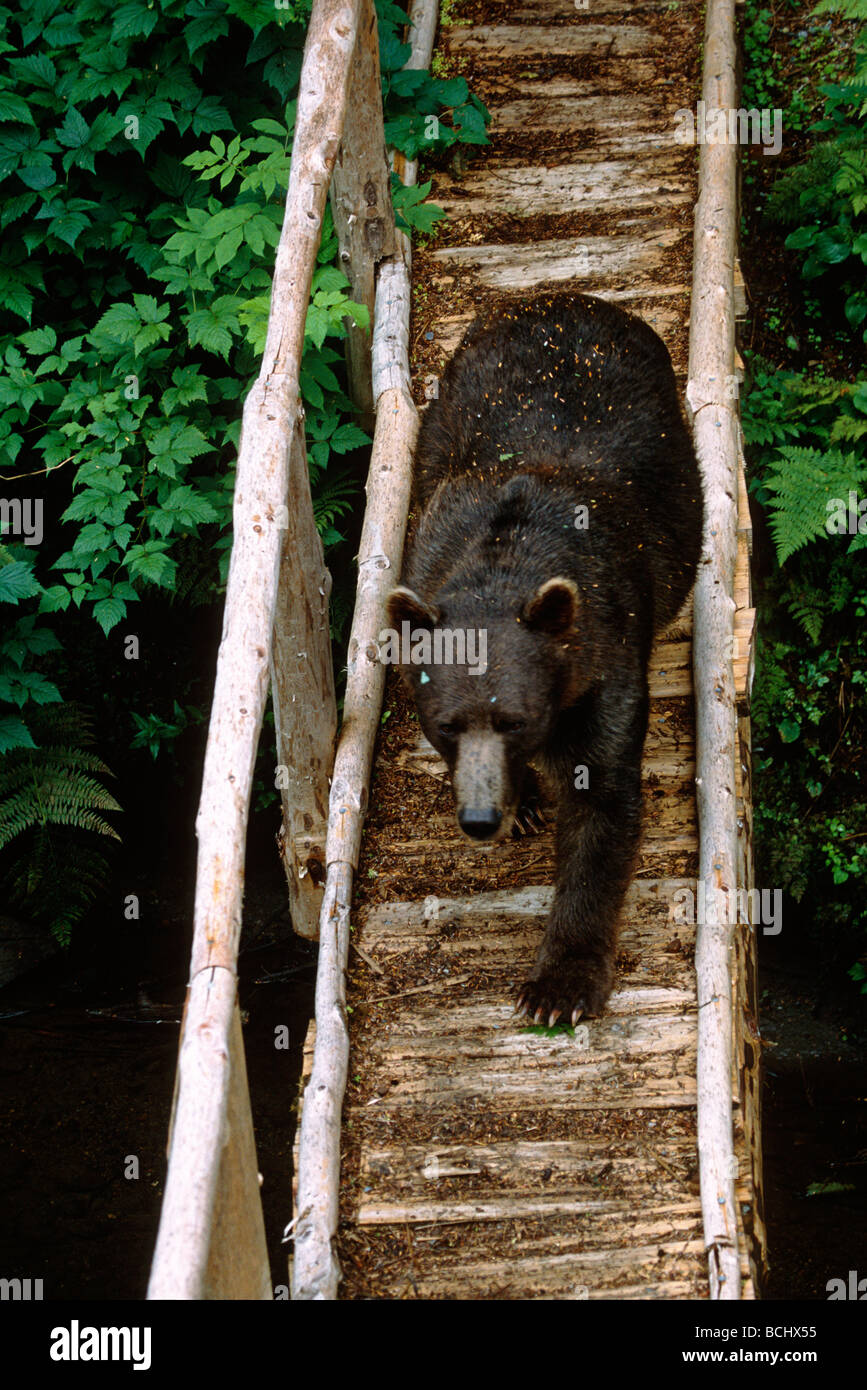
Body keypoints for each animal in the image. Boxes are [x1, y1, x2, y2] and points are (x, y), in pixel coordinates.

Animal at [387, 291, 704, 1026]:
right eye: (444, 726)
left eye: (514, 719)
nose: (478, 820)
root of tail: (556, 299)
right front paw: (526, 799)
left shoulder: (607, 659)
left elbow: (601, 810)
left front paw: (559, 985)